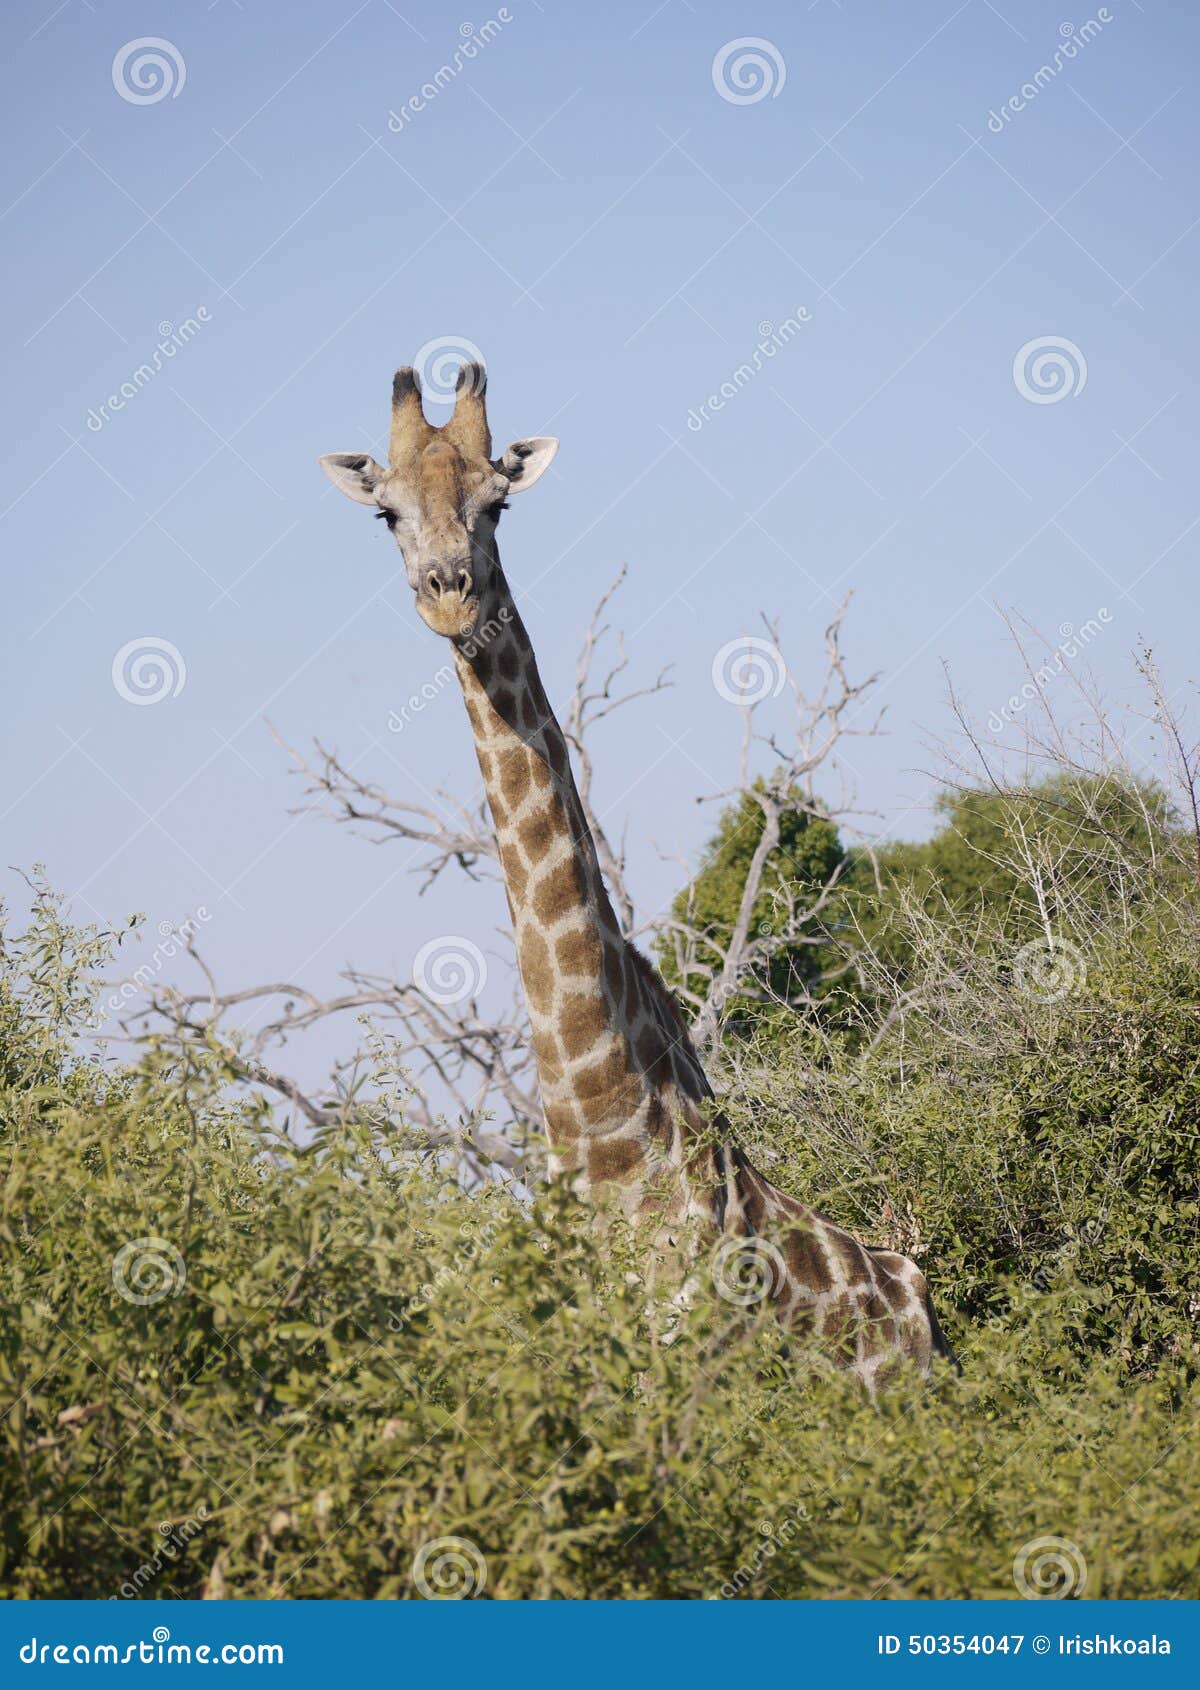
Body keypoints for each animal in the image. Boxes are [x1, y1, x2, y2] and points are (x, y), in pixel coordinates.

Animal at [320, 359, 959, 1389]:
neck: (602, 1134)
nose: (449, 593)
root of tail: (922, 1309)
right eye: (386, 513)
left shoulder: (687, 1365)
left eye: (497, 502)